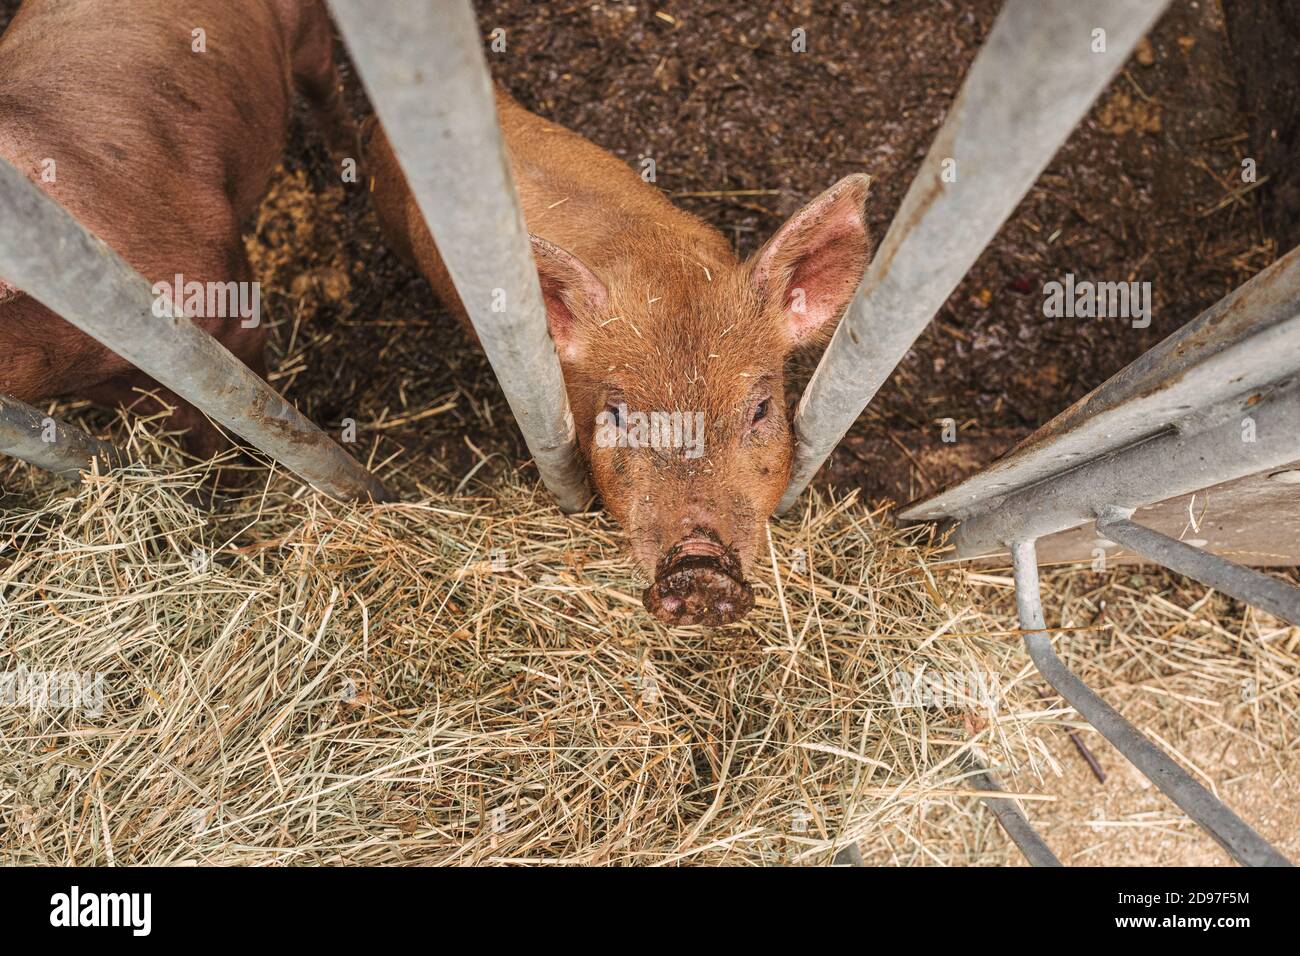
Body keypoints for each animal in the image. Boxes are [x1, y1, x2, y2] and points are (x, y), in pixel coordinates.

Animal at [0, 0, 349, 457]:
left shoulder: (220, 294)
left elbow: (242, 400)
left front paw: (249, 460)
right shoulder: (107, 382)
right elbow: (184, 420)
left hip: (307, 29)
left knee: (325, 84)